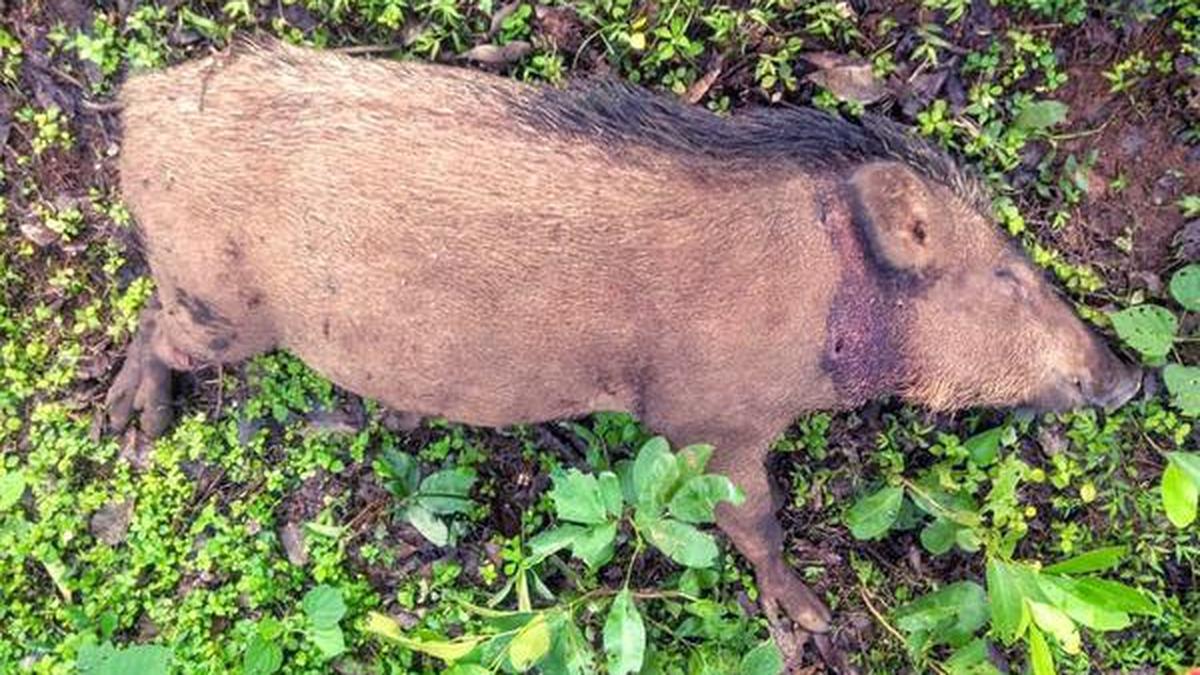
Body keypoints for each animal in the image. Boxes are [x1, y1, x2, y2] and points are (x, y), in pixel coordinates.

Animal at [107, 39, 1141, 657]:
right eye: (1007, 277)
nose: (1130, 378)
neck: (820, 289)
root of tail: (140, 98)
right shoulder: (706, 420)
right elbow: (755, 522)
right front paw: (812, 620)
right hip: (220, 307)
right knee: (155, 327)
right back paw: (134, 429)